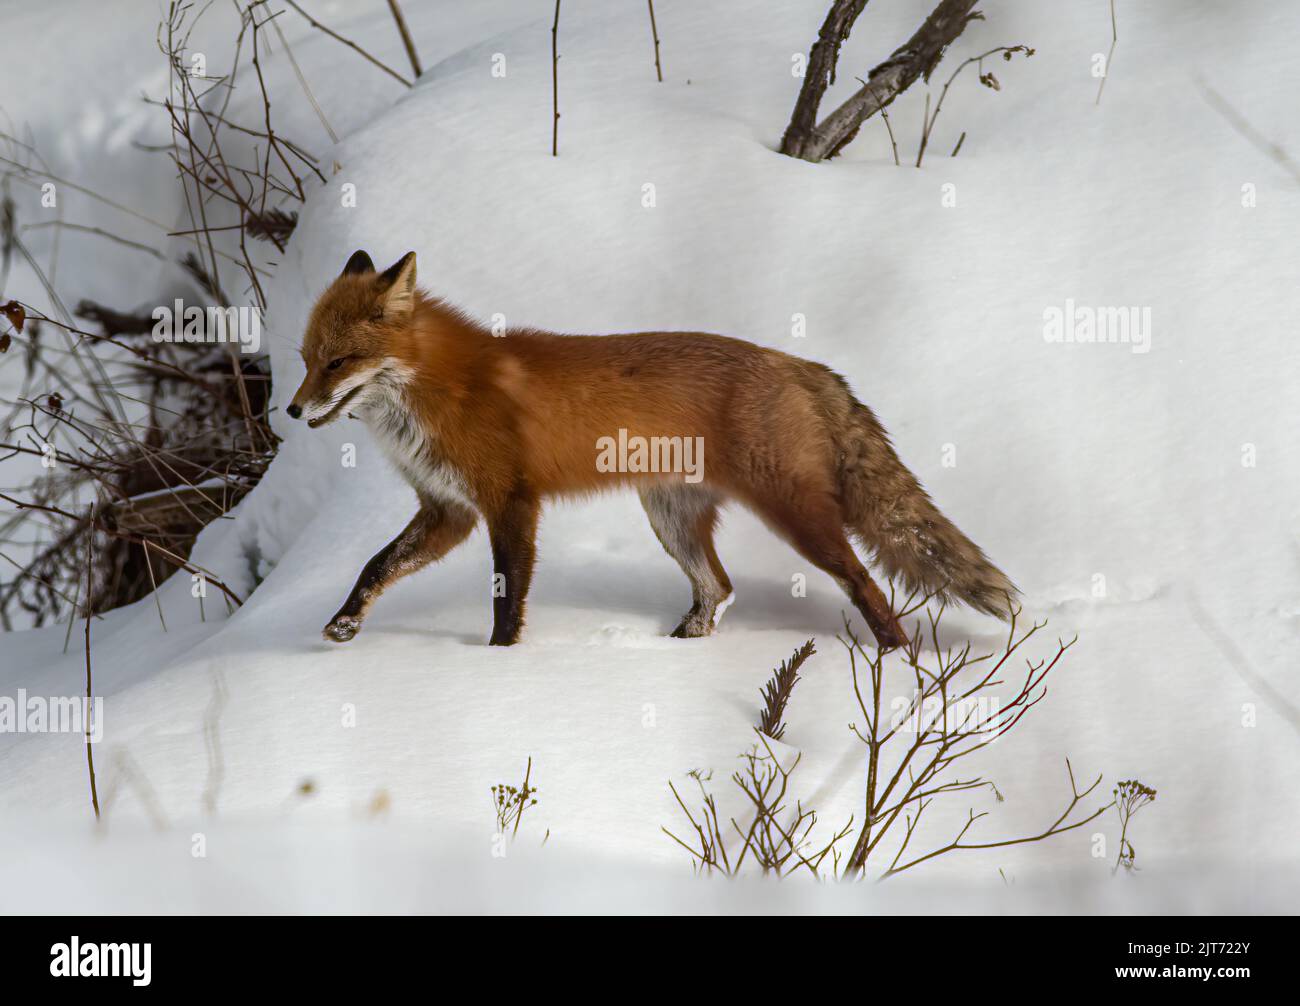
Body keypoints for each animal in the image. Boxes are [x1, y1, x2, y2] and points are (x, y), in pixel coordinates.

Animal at [287, 250, 1017, 649]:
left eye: (338, 362)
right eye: (304, 360)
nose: (291, 411)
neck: (440, 389)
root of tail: (801, 364)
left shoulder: (509, 504)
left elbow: (507, 599)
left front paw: (499, 666)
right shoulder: (450, 510)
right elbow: (375, 567)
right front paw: (345, 626)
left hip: (796, 517)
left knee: (865, 584)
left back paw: (898, 668)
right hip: (670, 518)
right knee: (717, 588)